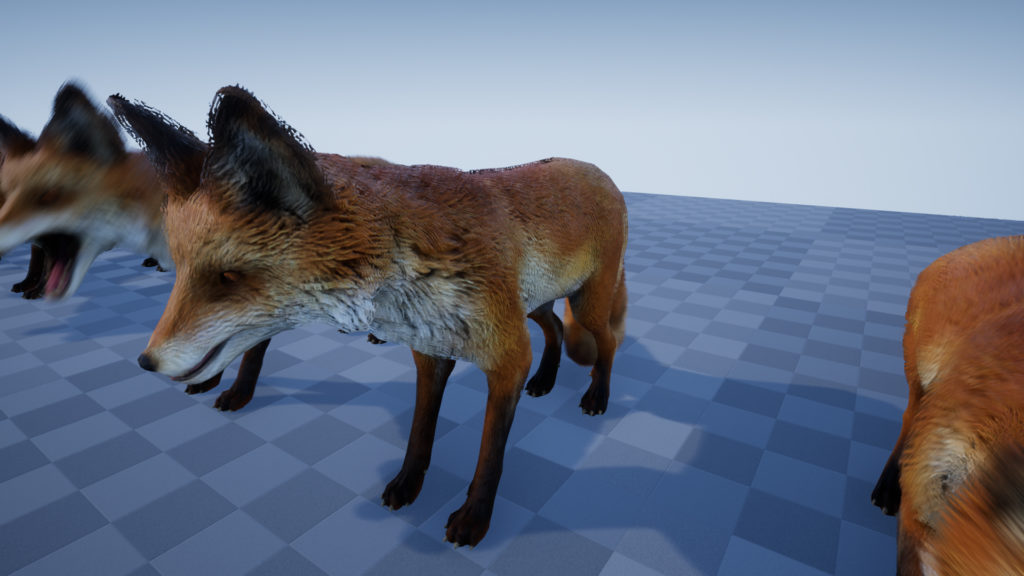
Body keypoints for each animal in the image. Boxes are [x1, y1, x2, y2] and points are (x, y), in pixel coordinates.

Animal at [113, 85, 628, 546]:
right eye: (180, 269)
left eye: (227, 277)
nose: (146, 362)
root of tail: (600, 170)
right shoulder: (432, 350)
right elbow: (421, 433)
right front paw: (408, 485)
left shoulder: (506, 357)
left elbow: (490, 454)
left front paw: (475, 518)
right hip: (537, 302)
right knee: (556, 327)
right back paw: (545, 380)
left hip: (587, 302)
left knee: (607, 341)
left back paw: (597, 396)